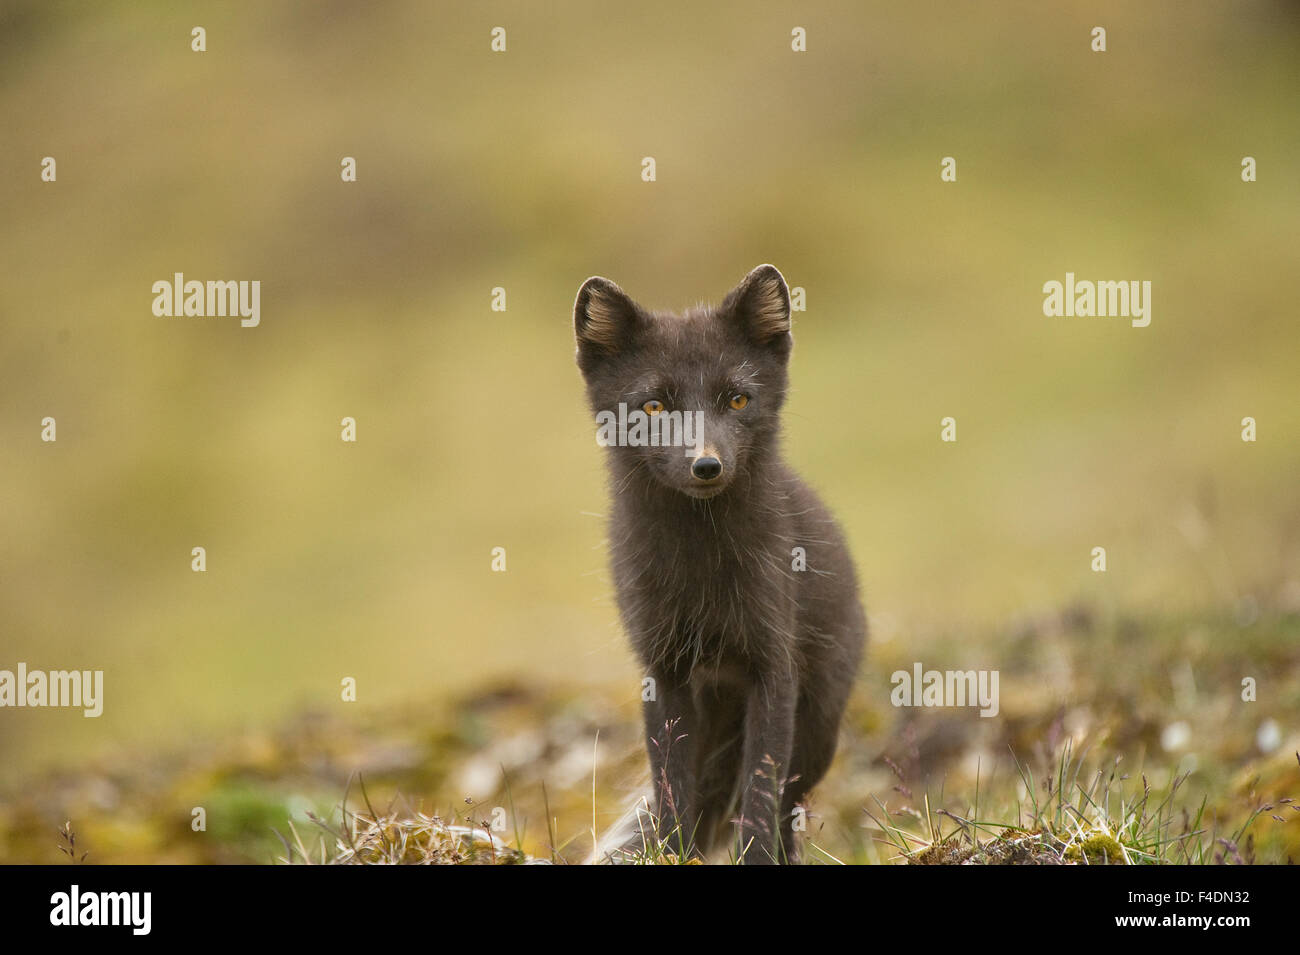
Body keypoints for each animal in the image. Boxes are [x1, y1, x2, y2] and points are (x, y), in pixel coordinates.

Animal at [574, 264, 866, 864]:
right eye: (654, 407)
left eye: (736, 400)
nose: (706, 465)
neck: (699, 565)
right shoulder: (662, 670)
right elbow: (671, 792)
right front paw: (672, 854)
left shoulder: (774, 667)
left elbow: (758, 795)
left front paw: (753, 859)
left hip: (818, 729)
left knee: (786, 806)